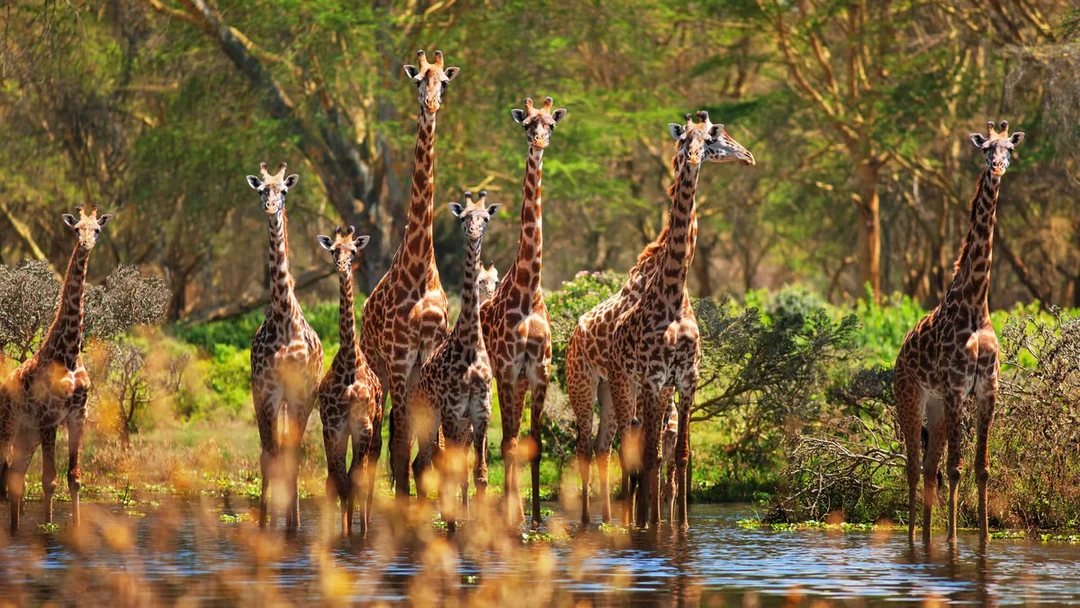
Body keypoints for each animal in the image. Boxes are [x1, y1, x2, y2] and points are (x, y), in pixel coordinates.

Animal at [0, 206, 111, 534]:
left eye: (96, 229)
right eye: (76, 229)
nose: (85, 244)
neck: (70, 352)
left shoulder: (77, 415)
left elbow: (74, 478)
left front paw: (75, 529)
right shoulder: (49, 417)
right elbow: (49, 481)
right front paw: (48, 530)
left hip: (27, 432)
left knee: (16, 473)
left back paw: (15, 529)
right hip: (10, 424)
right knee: (8, 470)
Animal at [410, 191, 500, 532]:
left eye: (485, 218)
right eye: (464, 218)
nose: (473, 233)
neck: (472, 345)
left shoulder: (480, 412)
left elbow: (480, 475)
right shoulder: (451, 411)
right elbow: (449, 471)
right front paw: (450, 527)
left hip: (458, 425)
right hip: (429, 419)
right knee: (422, 463)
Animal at [567, 111, 754, 527]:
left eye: (712, 136)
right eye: (687, 139)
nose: (748, 156)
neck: (671, 292)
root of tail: (574, 332)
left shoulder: (683, 381)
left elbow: (680, 455)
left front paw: (679, 525)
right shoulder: (652, 380)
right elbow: (650, 456)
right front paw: (649, 525)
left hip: (614, 390)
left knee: (607, 446)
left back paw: (614, 518)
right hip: (589, 384)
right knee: (589, 447)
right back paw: (594, 520)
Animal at [895, 120, 1024, 545]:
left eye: (1009, 149)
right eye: (985, 149)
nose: (998, 167)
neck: (976, 304)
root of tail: (899, 353)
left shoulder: (986, 389)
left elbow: (981, 467)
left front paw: (982, 540)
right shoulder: (955, 387)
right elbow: (955, 467)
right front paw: (953, 541)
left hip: (935, 406)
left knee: (929, 465)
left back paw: (927, 535)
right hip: (910, 396)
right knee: (914, 465)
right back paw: (913, 537)